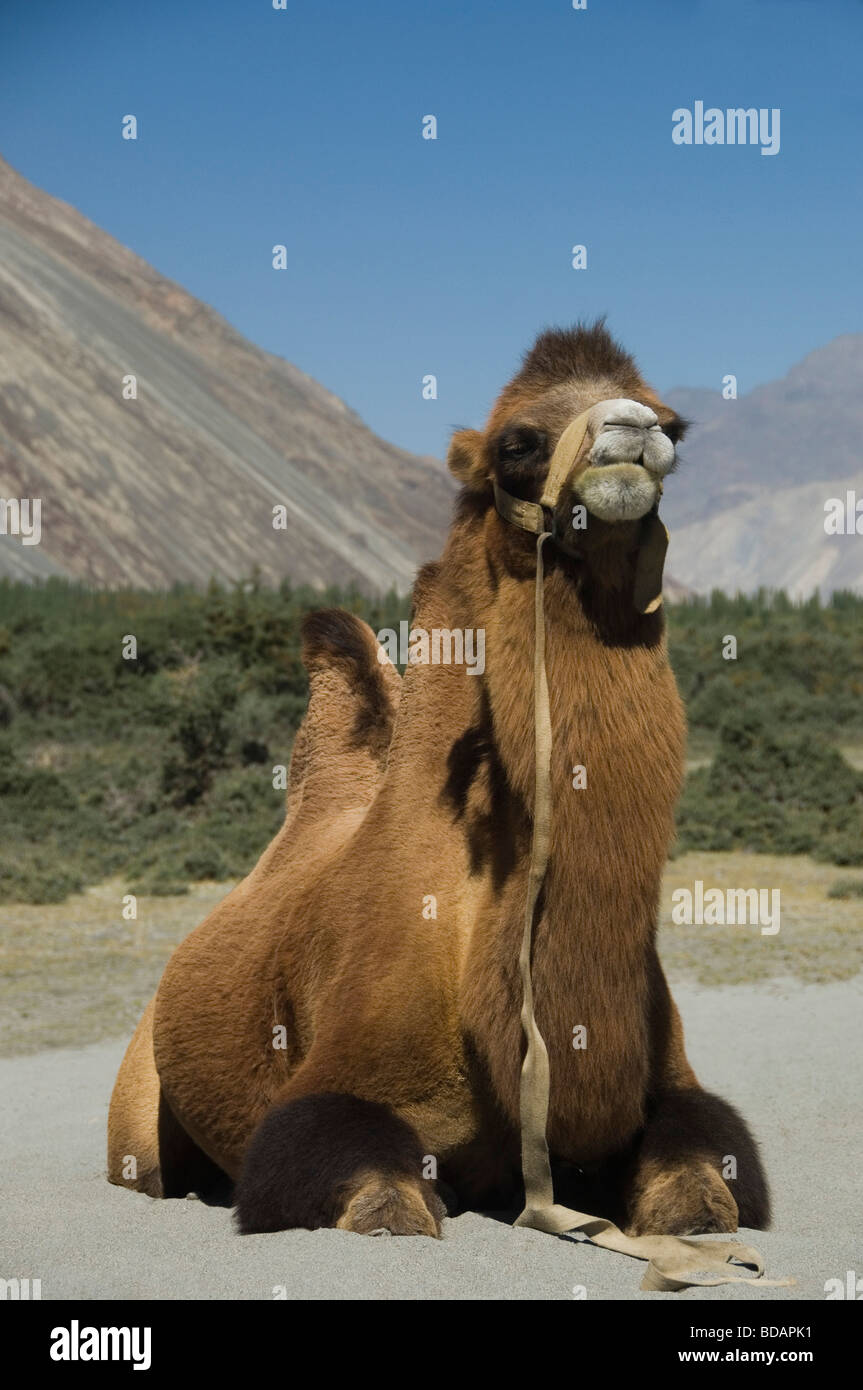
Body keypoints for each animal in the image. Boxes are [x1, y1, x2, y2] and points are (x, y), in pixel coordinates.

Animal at [108, 321, 770, 1257]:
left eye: (674, 426)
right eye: (518, 442)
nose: (633, 434)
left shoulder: (666, 1079)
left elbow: (706, 1168)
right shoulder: (332, 1084)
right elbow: (368, 1186)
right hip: (138, 1103)